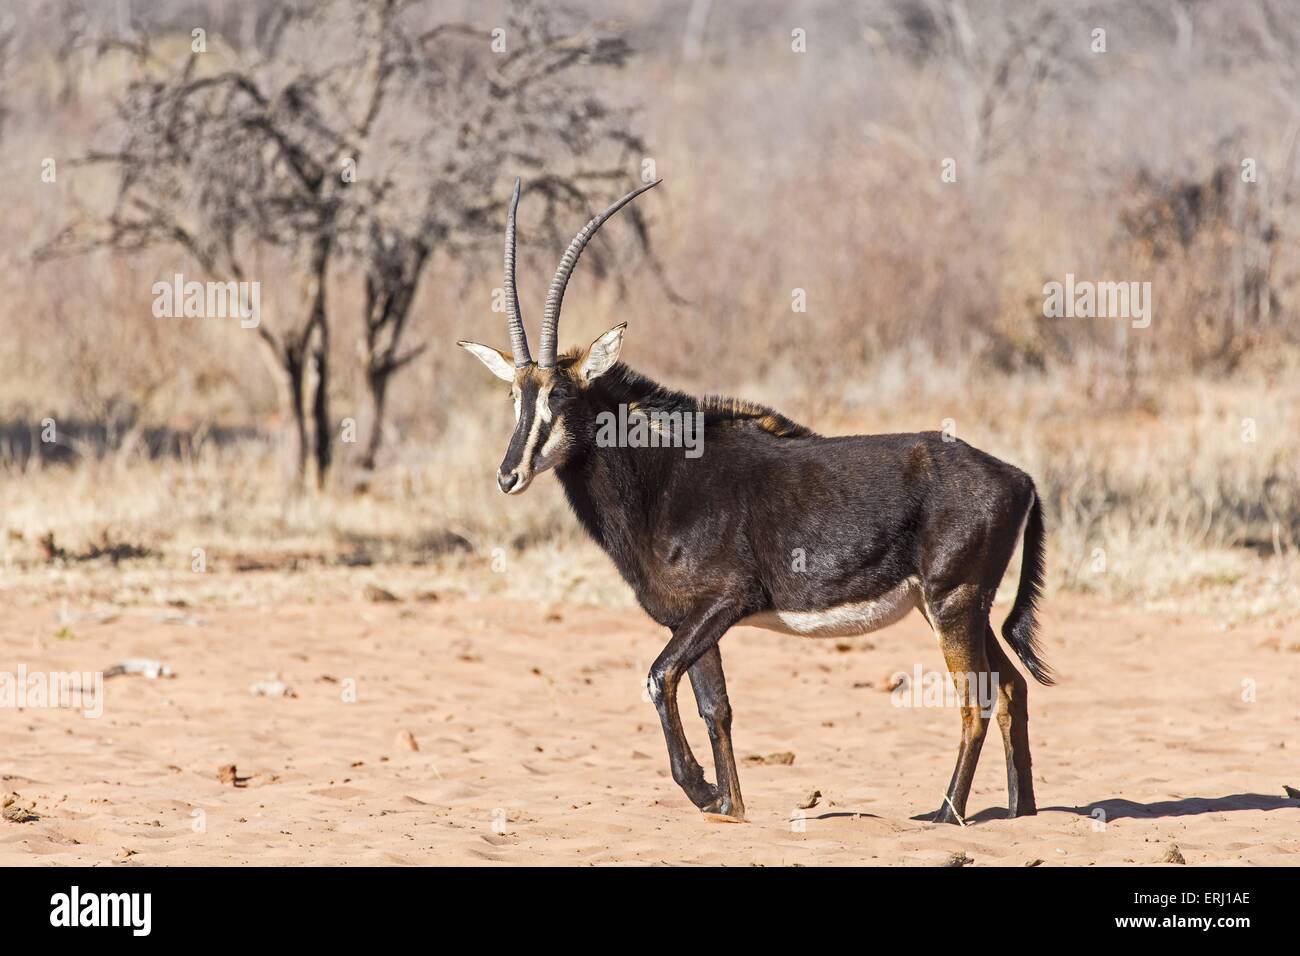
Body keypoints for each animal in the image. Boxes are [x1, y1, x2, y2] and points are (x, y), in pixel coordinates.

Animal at [459, 178, 1052, 824]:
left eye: (561, 396)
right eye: (515, 397)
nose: (509, 475)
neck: (664, 475)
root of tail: (1019, 478)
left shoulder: (726, 600)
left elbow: (658, 677)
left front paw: (699, 789)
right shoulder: (689, 618)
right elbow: (713, 705)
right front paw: (729, 804)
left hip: (952, 604)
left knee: (976, 700)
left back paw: (946, 814)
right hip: (953, 607)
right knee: (1013, 687)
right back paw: (1020, 811)